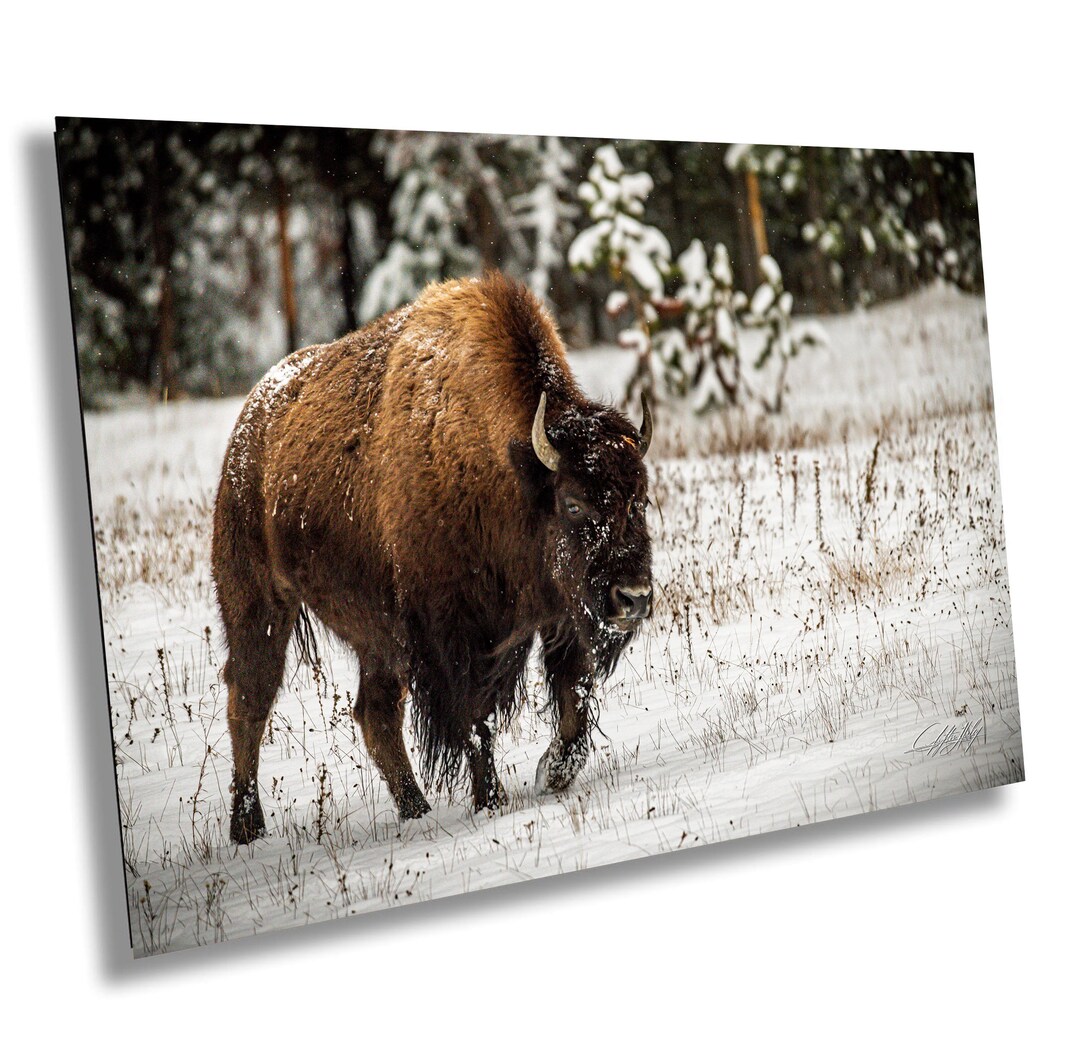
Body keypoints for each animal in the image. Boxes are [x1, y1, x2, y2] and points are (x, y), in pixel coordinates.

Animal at [212, 272, 654, 843]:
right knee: (250, 700)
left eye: (639, 500)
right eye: (573, 502)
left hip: (375, 633)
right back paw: (248, 828)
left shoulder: (562, 616)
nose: (633, 598)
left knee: (373, 715)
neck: (508, 470)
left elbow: (572, 702)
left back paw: (414, 809)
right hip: (259, 605)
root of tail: (249, 428)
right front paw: (492, 802)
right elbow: (475, 722)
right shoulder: (451, 637)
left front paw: (550, 774)